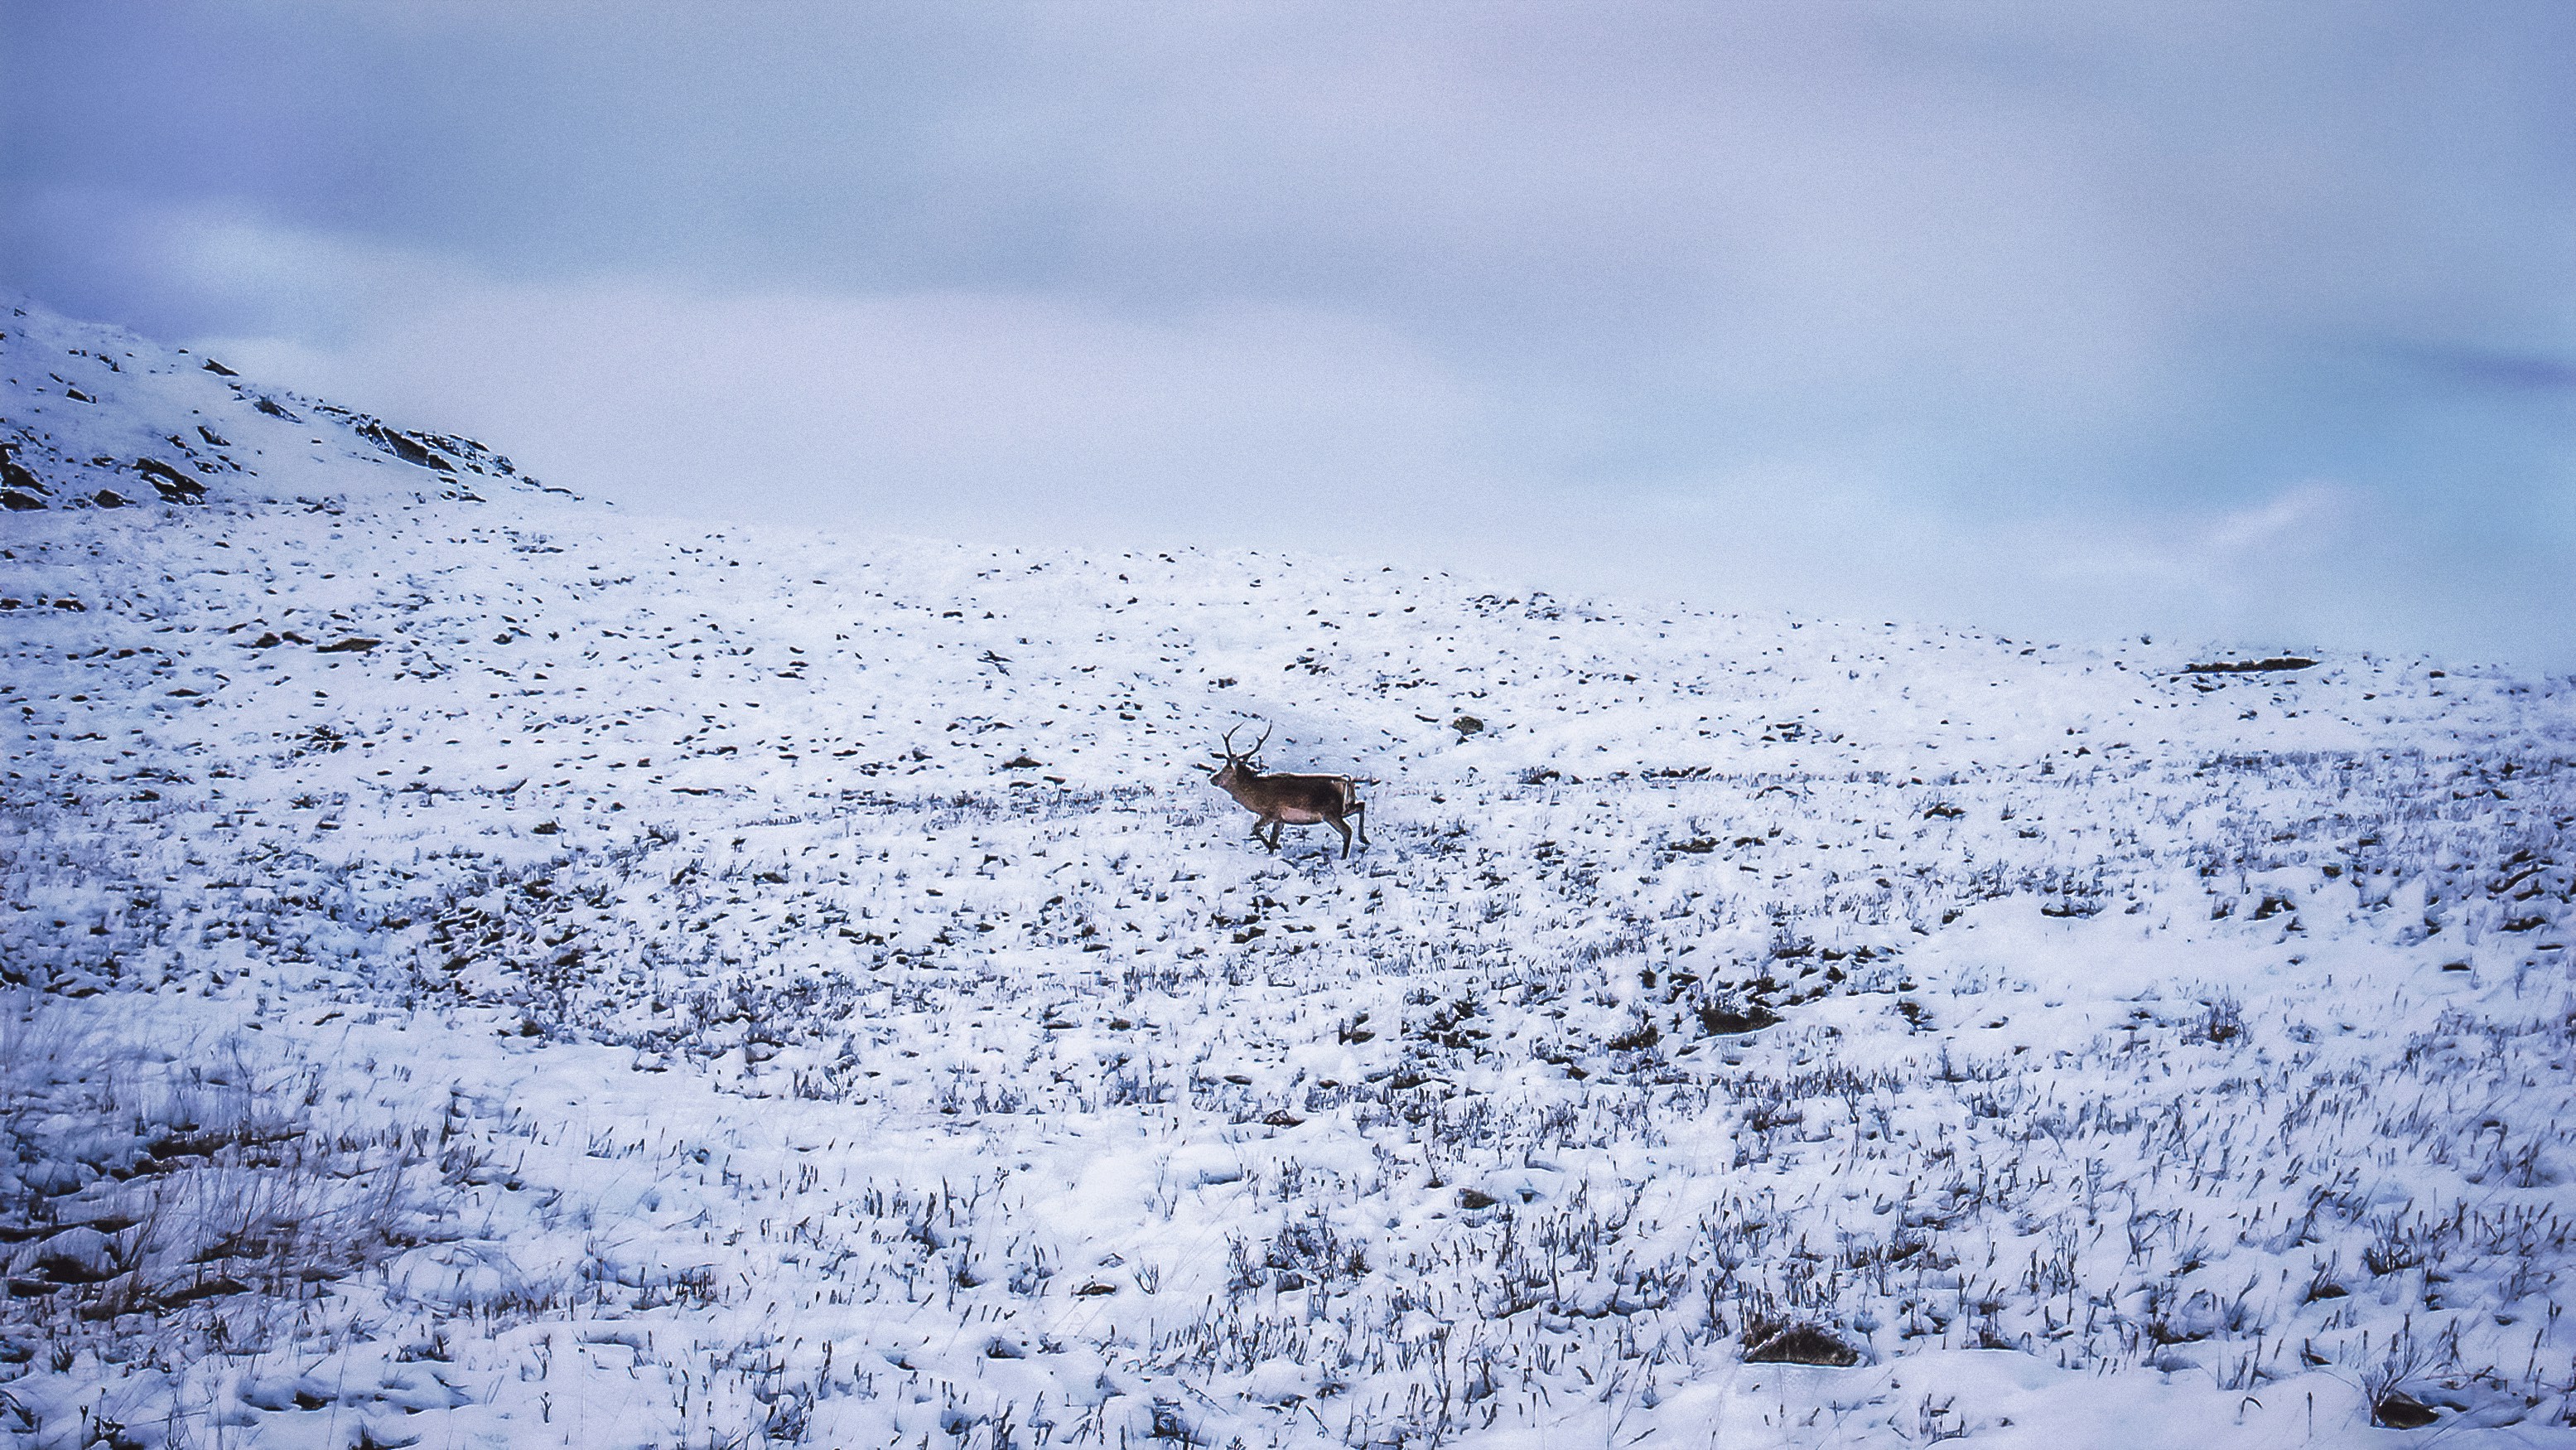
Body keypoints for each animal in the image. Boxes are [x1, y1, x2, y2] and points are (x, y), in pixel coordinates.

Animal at [1206, 722, 1370, 858]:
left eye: (1225, 769)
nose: (1213, 779)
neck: (1257, 796)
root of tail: (1345, 781)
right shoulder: (1280, 819)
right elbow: (1272, 838)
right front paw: (1272, 851)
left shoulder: (1271, 812)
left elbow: (1256, 830)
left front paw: (1274, 847)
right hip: (1342, 809)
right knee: (1361, 805)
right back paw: (1365, 840)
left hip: (1331, 813)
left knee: (1347, 831)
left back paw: (1344, 856)